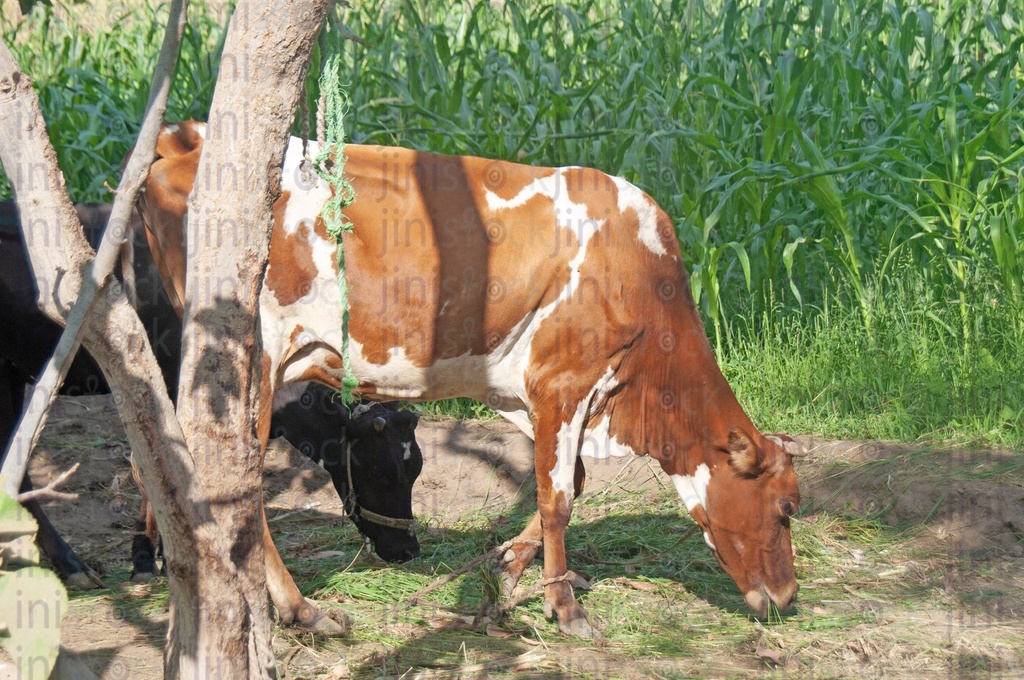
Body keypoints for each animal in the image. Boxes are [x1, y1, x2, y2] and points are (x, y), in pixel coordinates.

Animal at [137, 121, 802, 637]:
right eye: (787, 509)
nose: (789, 599)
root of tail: (185, 140)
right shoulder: (562, 383)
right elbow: (559, 497)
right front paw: (564, 606)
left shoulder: (535, 392)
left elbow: (572, 482)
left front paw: (507, 566)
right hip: (253, 361)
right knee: (239, 479)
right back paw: (300, 609)